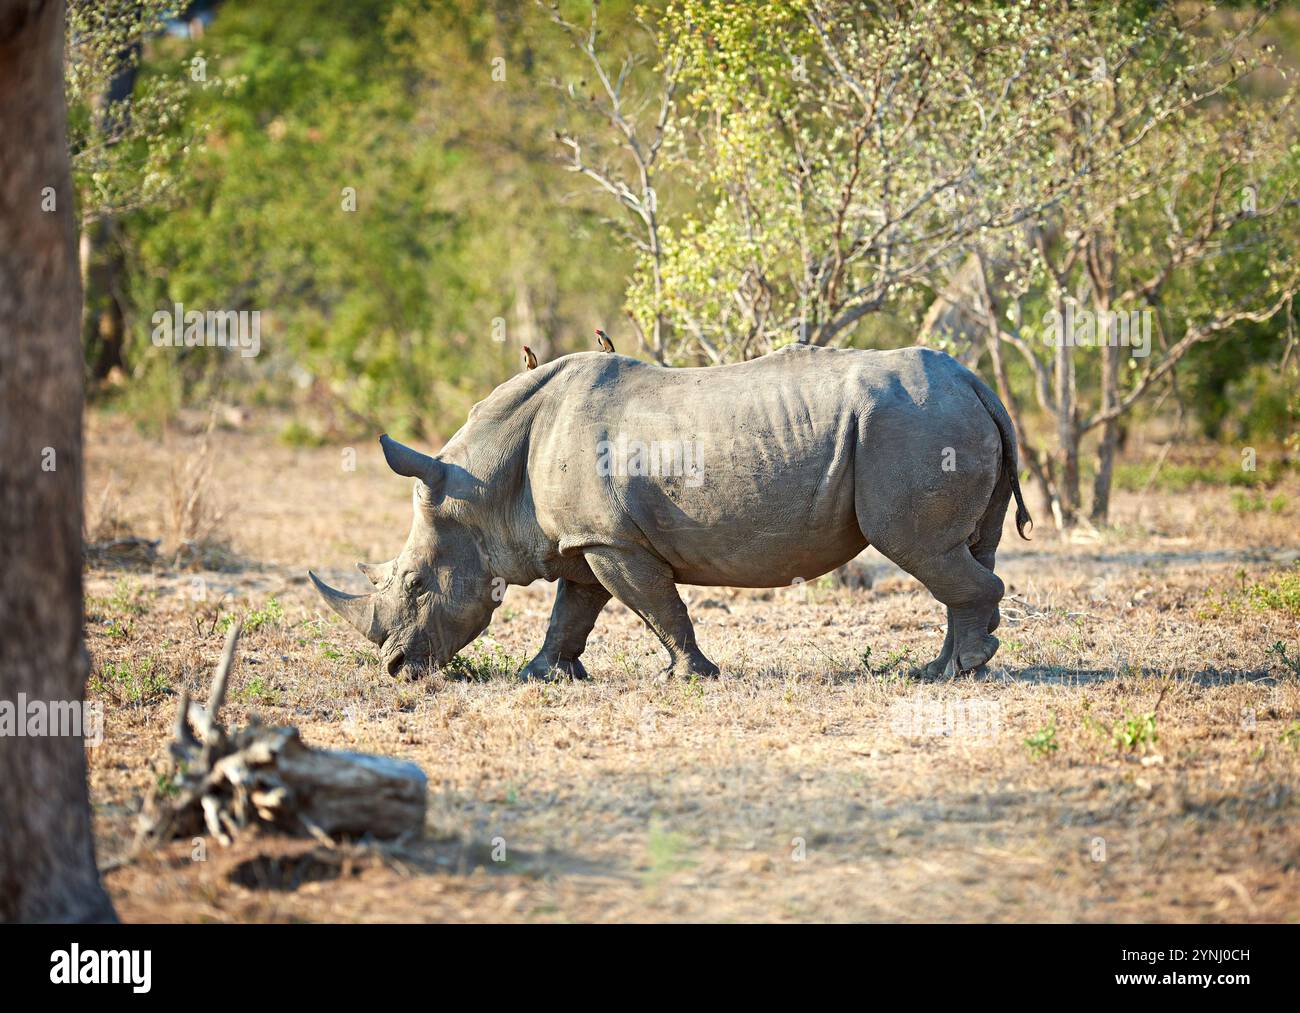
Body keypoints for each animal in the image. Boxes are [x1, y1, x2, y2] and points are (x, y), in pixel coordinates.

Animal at [309, 344, 1031, 682]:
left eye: (416, 584)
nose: (396, 669)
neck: (483, 487)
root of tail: (975, 380)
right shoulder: (586, 538)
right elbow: (572, 610)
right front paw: (544, 675)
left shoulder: (612, 541)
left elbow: (658, 606)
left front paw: (691, 675)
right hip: (938, 416)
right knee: (960, 551)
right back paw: (945, 668)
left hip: (913, 426)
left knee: (920, 550)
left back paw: (957, 670)